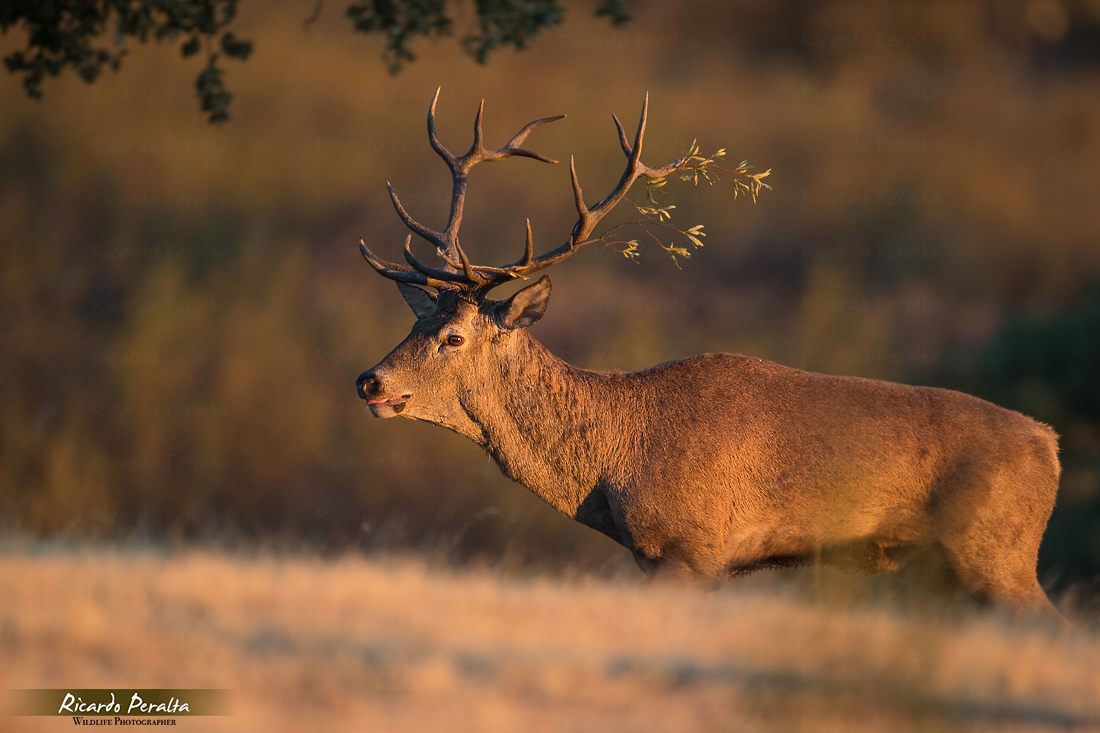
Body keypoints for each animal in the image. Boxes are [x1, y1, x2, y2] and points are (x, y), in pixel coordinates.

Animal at [354, 89, 1061, 616]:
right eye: (417, 323)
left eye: (454, 337)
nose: (370, 380)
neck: (613, 459)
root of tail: (1049, 443)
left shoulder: (692, 547)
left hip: (999, 553)